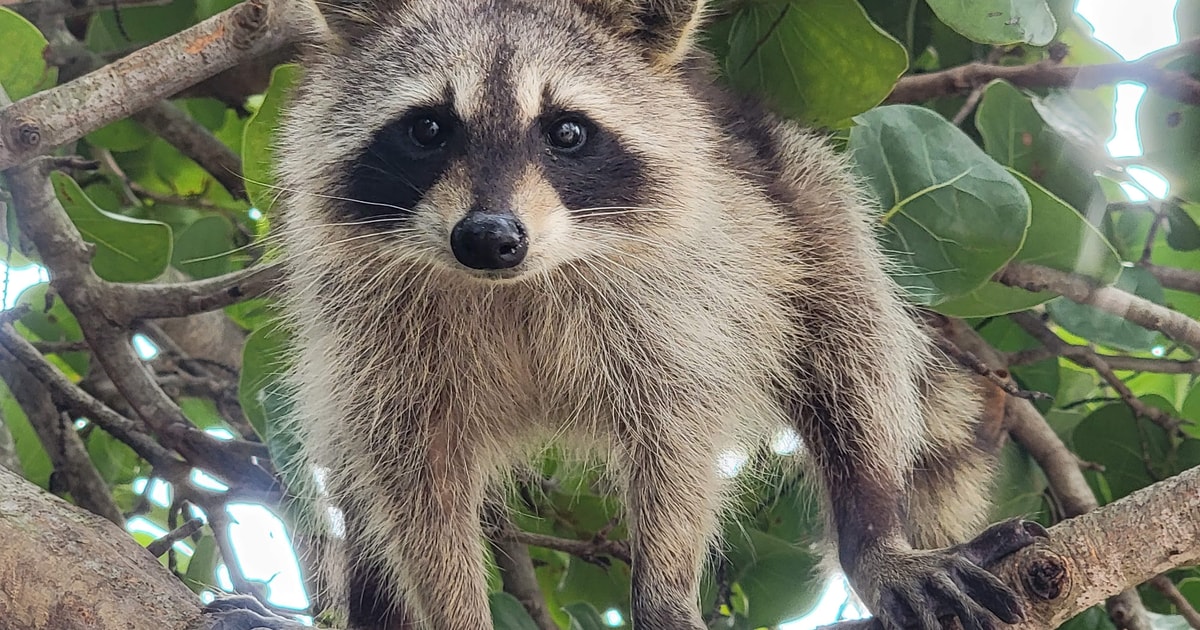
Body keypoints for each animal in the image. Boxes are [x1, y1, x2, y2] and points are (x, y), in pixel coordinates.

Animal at [208, 1, 1045, 628]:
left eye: (567, 132)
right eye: (428, 128)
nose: (488, 237)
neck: (516, 283)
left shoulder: (683, 293)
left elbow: (678, 433)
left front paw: (666, 588)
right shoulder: (370, 327)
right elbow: (410, 471)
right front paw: (450, 609)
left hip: (801, 194)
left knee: (850, 343)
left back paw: (873, 534)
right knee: (350, 479)